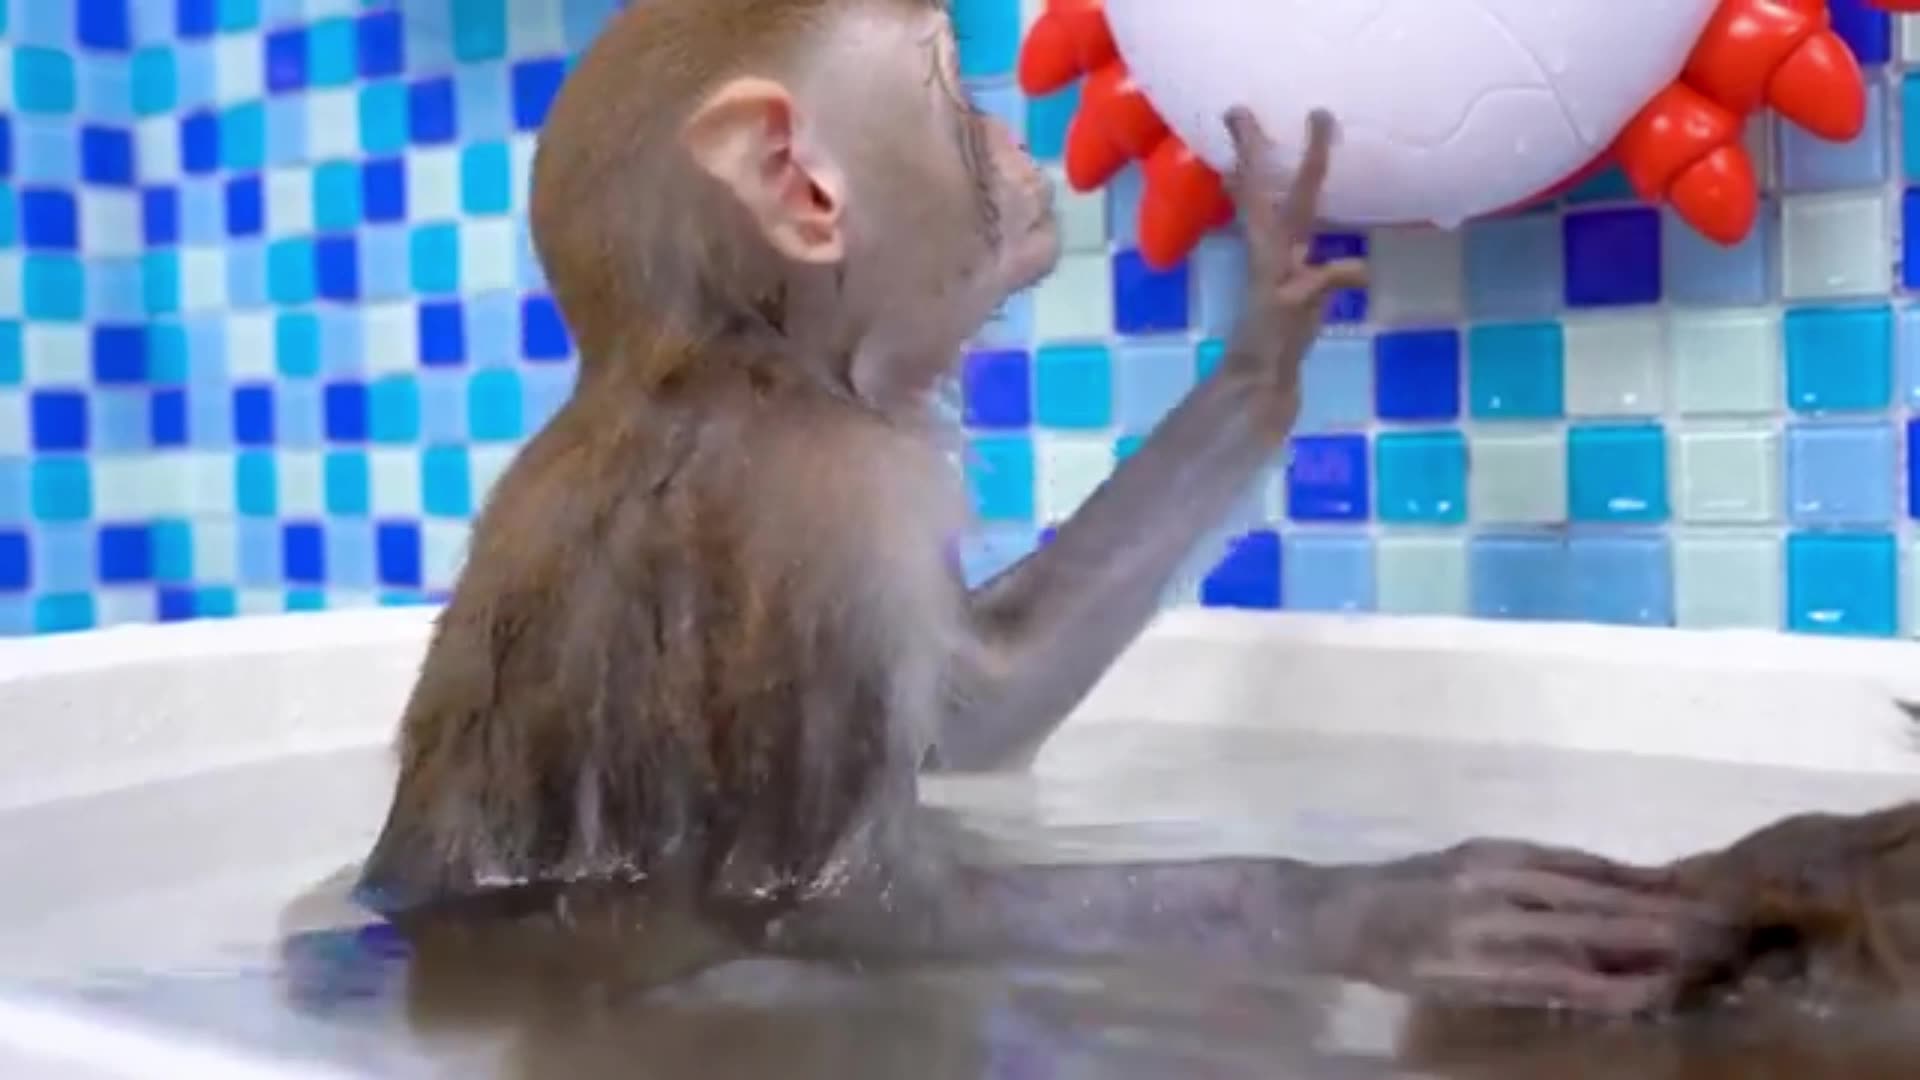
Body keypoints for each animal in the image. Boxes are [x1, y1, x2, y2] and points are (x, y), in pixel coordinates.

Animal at [350, 0, 1735, 1016]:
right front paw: (1375, 911)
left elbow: (981, 710)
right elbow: (821, 898)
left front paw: (1262, 332)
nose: (1019, 142)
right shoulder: (838, 502)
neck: (739, 356)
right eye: (955, 89)